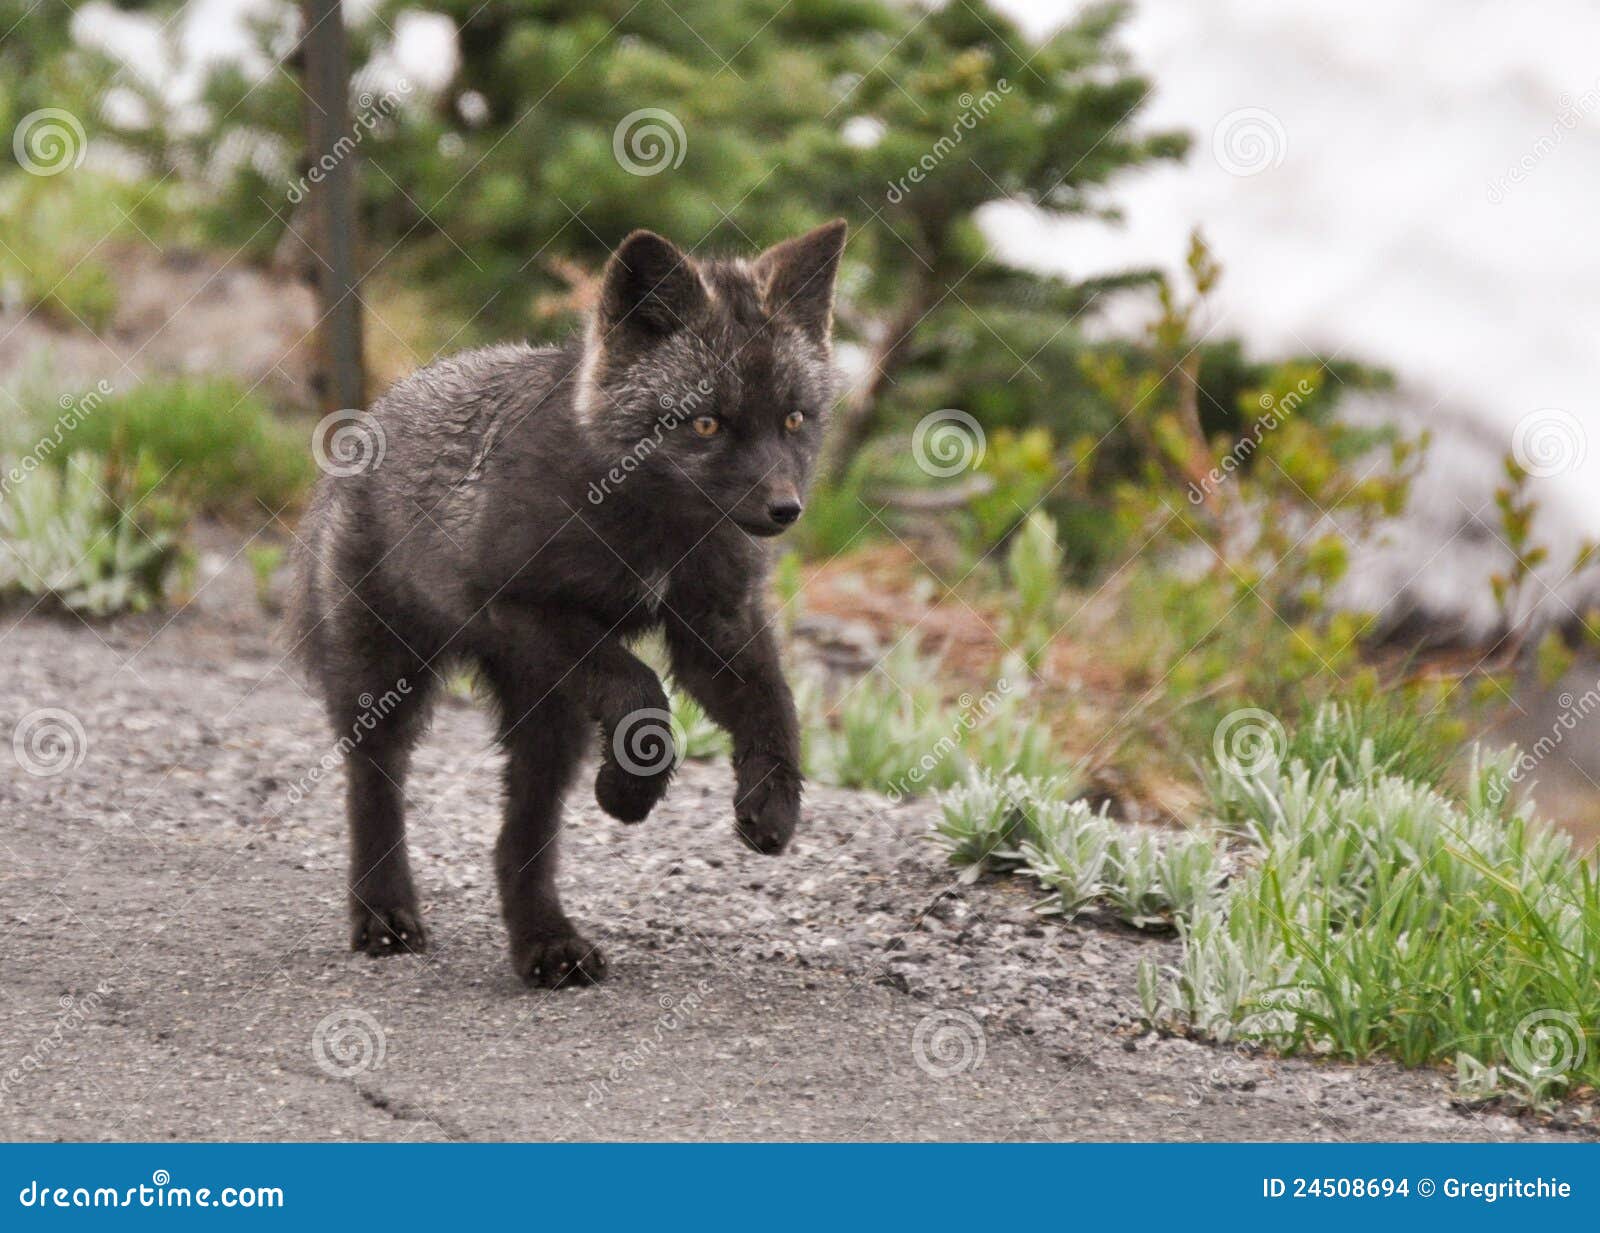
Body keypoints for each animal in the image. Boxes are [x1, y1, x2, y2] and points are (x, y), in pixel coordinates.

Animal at [293, 220, 847, 988]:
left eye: (794, 419)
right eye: (706, 424)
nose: (784, 510)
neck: (654, 531)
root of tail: (370, 417)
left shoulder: (717, 625)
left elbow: (774, 707)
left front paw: (771, 804)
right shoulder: (524, 612)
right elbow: (643, 693)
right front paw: (630, 792)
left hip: (549, 728)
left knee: (516, 842)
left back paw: (546, 944)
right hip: (390, 684)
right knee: (372, 786)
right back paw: (383, 912)